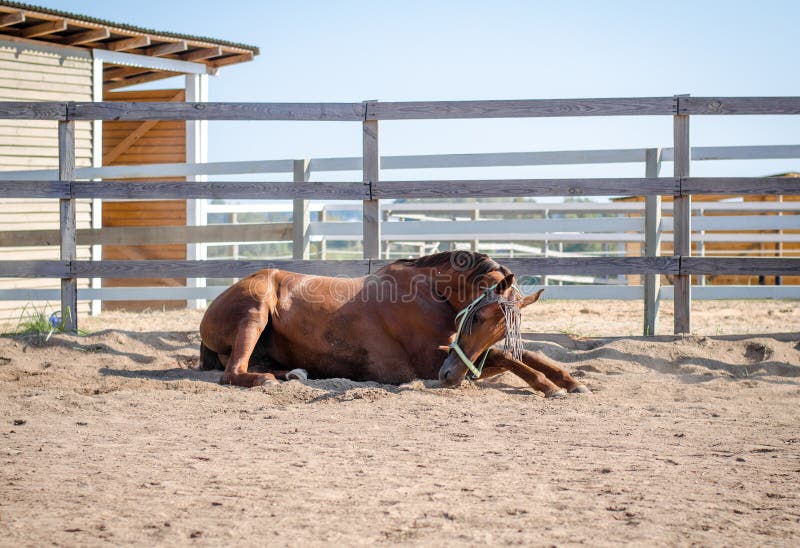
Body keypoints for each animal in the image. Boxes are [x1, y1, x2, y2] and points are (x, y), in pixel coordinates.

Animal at [199, 251, 589, 397]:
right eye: (477, 316)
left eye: (503, 329)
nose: (450, 378)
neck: (433, 293)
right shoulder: (433, 361)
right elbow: (509, 358)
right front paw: (548, 387)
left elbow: (529, 356)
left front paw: (571, 382)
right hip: (255, 311)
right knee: (233, 373)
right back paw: (266, 380)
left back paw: (293, 374)